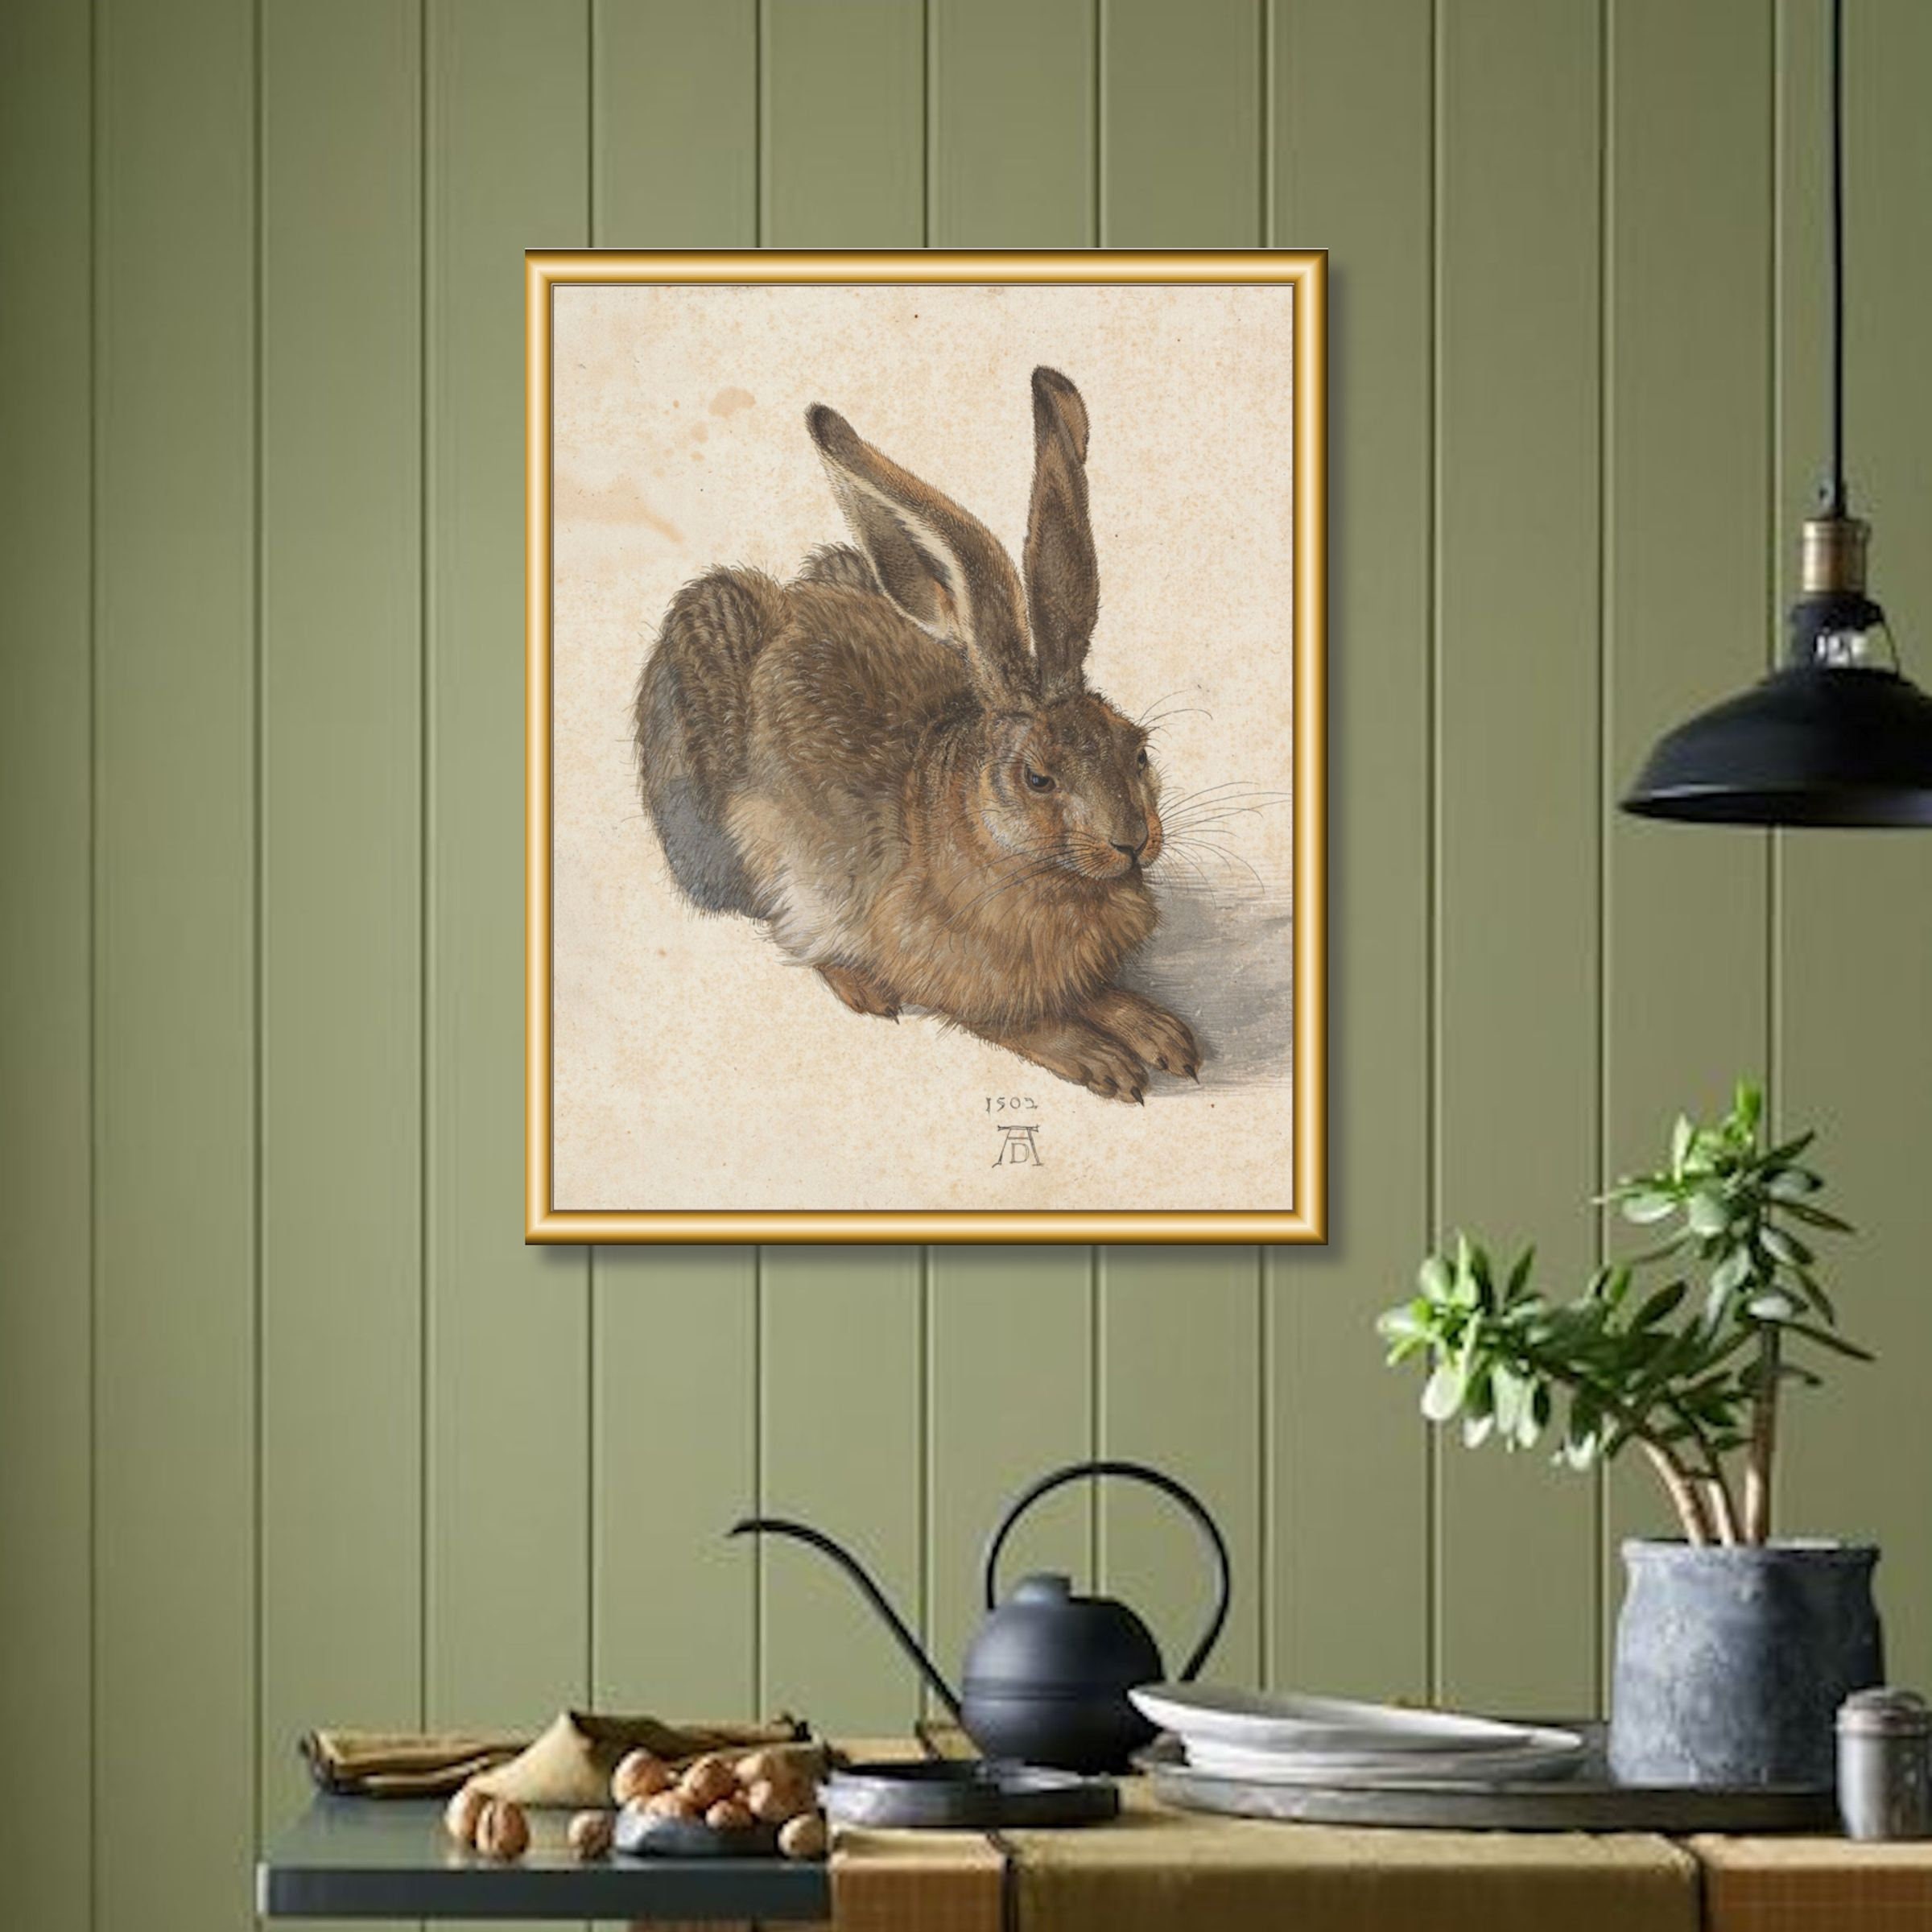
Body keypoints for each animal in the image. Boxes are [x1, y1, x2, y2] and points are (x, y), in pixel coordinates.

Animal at [633, 366, 1199, 1102]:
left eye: (1139, 751)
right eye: (1038, 778)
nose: (1131, 842)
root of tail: (792, 603)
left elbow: (1095, 993)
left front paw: (1161, 1032)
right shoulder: (944, 966)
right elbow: (1017, 1019)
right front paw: (1100, 1057)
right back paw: (859, 985)